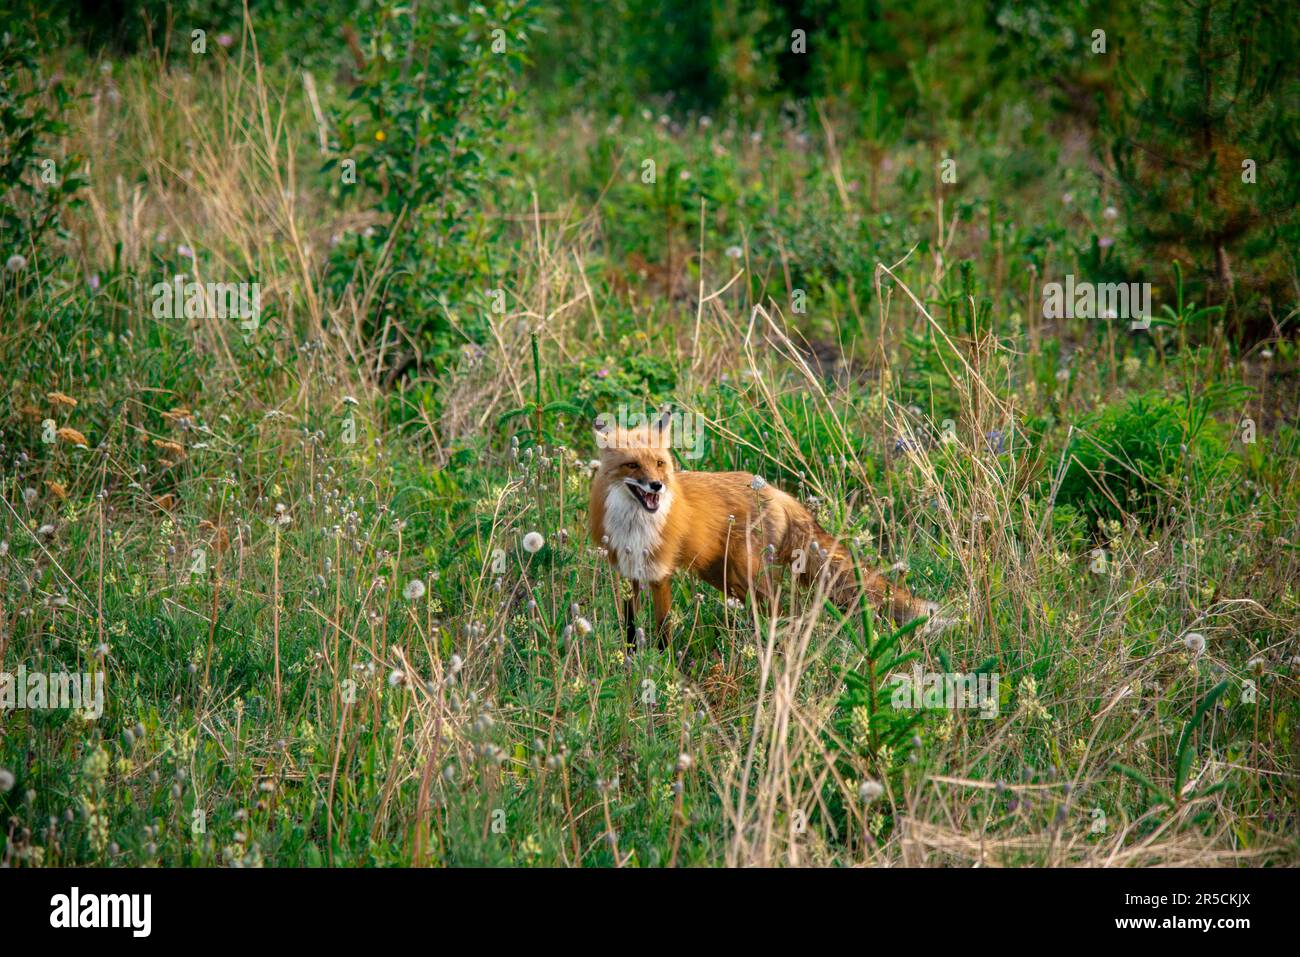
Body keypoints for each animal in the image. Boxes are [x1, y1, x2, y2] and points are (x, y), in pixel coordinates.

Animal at [589, 412, 940, 647]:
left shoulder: (659, 574)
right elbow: (631, 626)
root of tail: (776, 491)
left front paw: (664, 666)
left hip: (744, 574)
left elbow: (662, 631)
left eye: (660, 464)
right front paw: (632, 661)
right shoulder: (628, 573)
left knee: (781, 610)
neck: (635, 525)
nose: (657, 486)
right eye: (633, 465)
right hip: (724, 576)